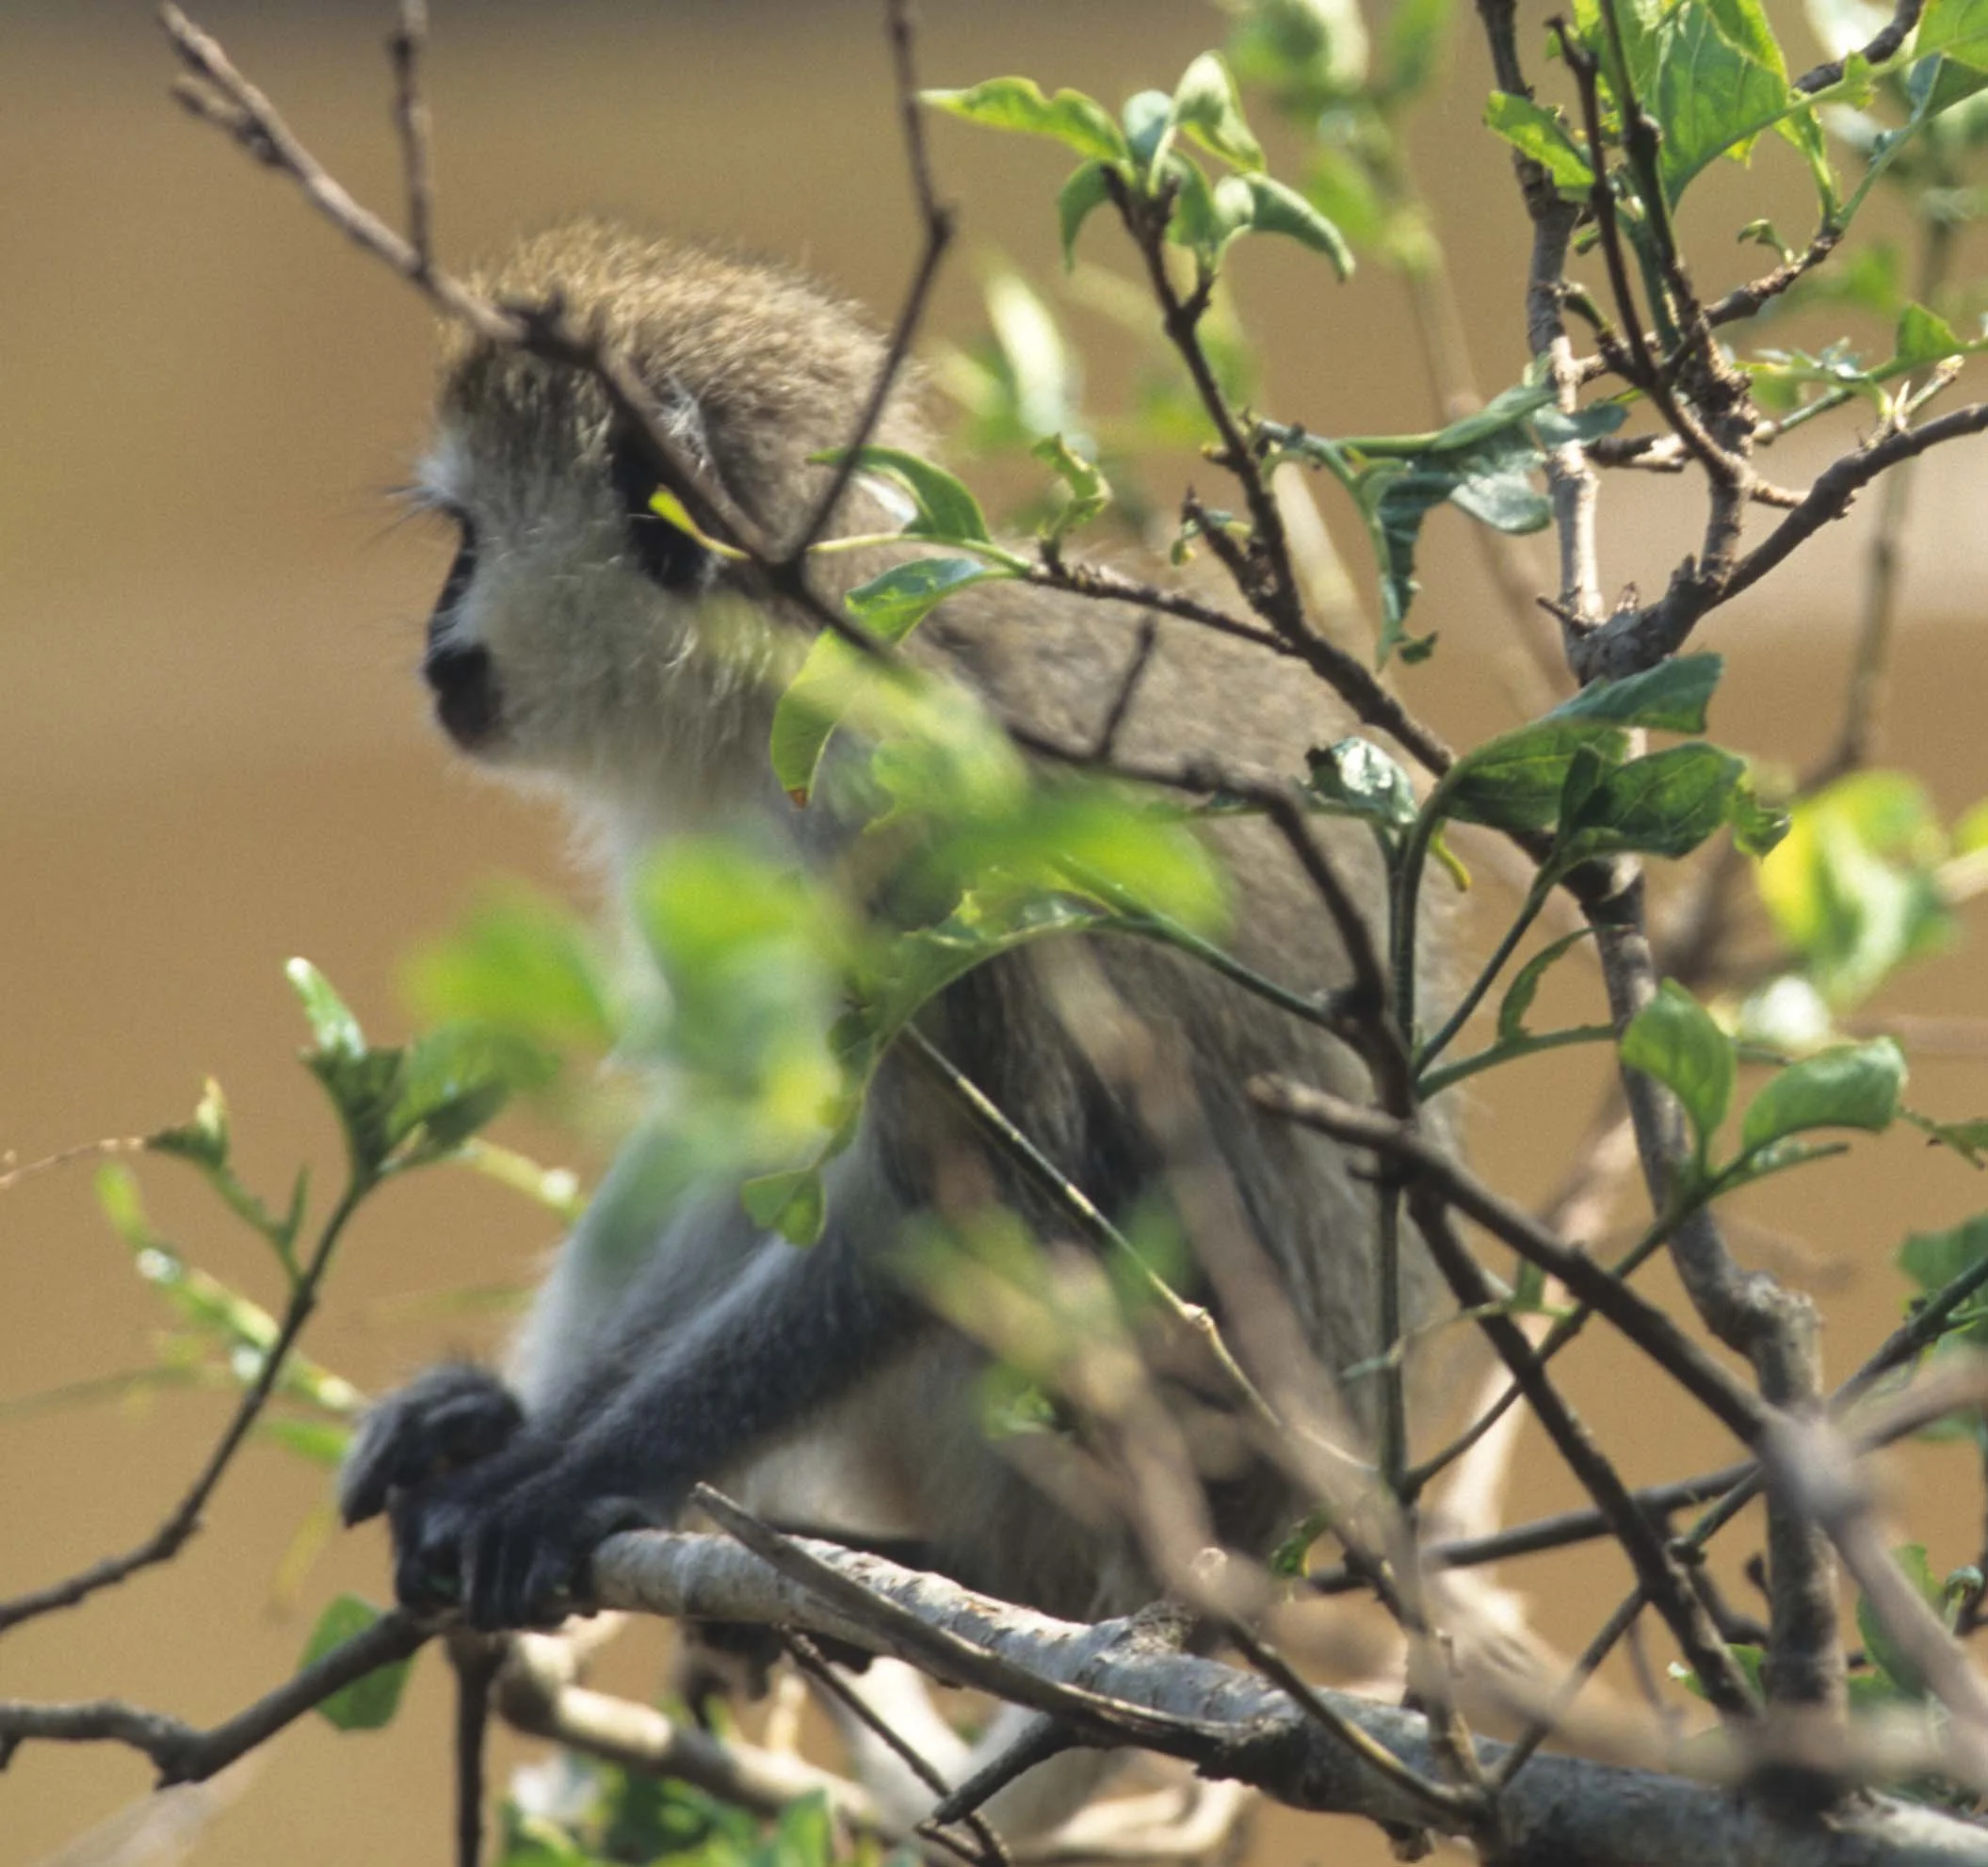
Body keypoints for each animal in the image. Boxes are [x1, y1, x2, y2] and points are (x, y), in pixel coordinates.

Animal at [338, 221, 1448, 1647]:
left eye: (470, 541)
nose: (433, 644)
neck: (778, 677)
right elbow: (752, 1117)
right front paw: (519, 1436)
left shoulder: (904, 805)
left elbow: (949, 1190)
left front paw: (572, 1477)